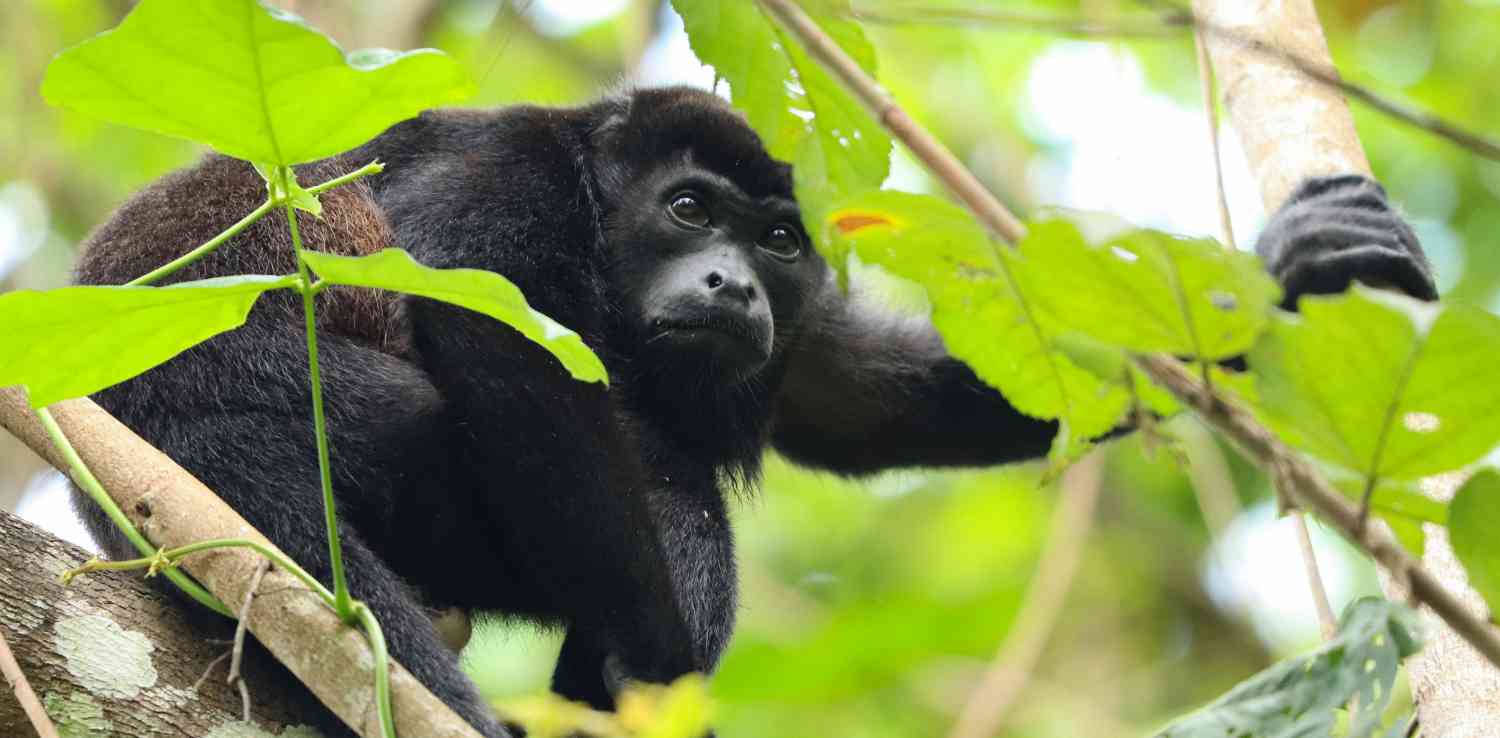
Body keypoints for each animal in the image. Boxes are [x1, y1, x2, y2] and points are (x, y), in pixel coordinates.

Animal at [68, 86, 1436, 737]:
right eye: (689, 212)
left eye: (776, 240)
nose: (730, 283)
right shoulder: (501, 181)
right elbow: (487, 332)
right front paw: (659, 665)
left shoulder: (798, 321)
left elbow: (860, 401)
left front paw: (1278, 279)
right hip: (282, 417)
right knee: (640, 486)